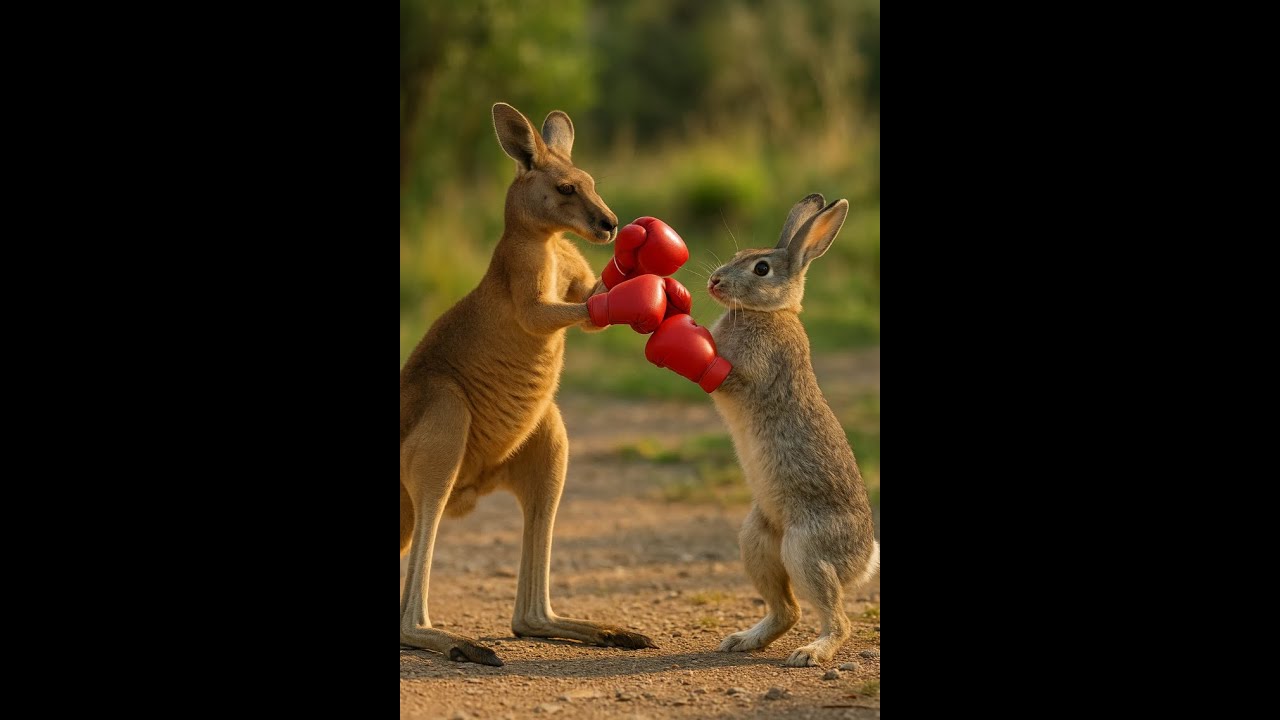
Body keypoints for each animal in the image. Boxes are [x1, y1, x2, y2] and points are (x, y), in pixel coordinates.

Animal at [706, 193, 880, 668]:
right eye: (739, 256)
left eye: (761, 268)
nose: (714, 282)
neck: (770, 313)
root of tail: (865, 561)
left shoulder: (750, 372)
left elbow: (723, 376)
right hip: (757, 538)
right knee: (787, 610)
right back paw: (742, 640)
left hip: (806, 550)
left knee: (835, 618)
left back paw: (810, 653)